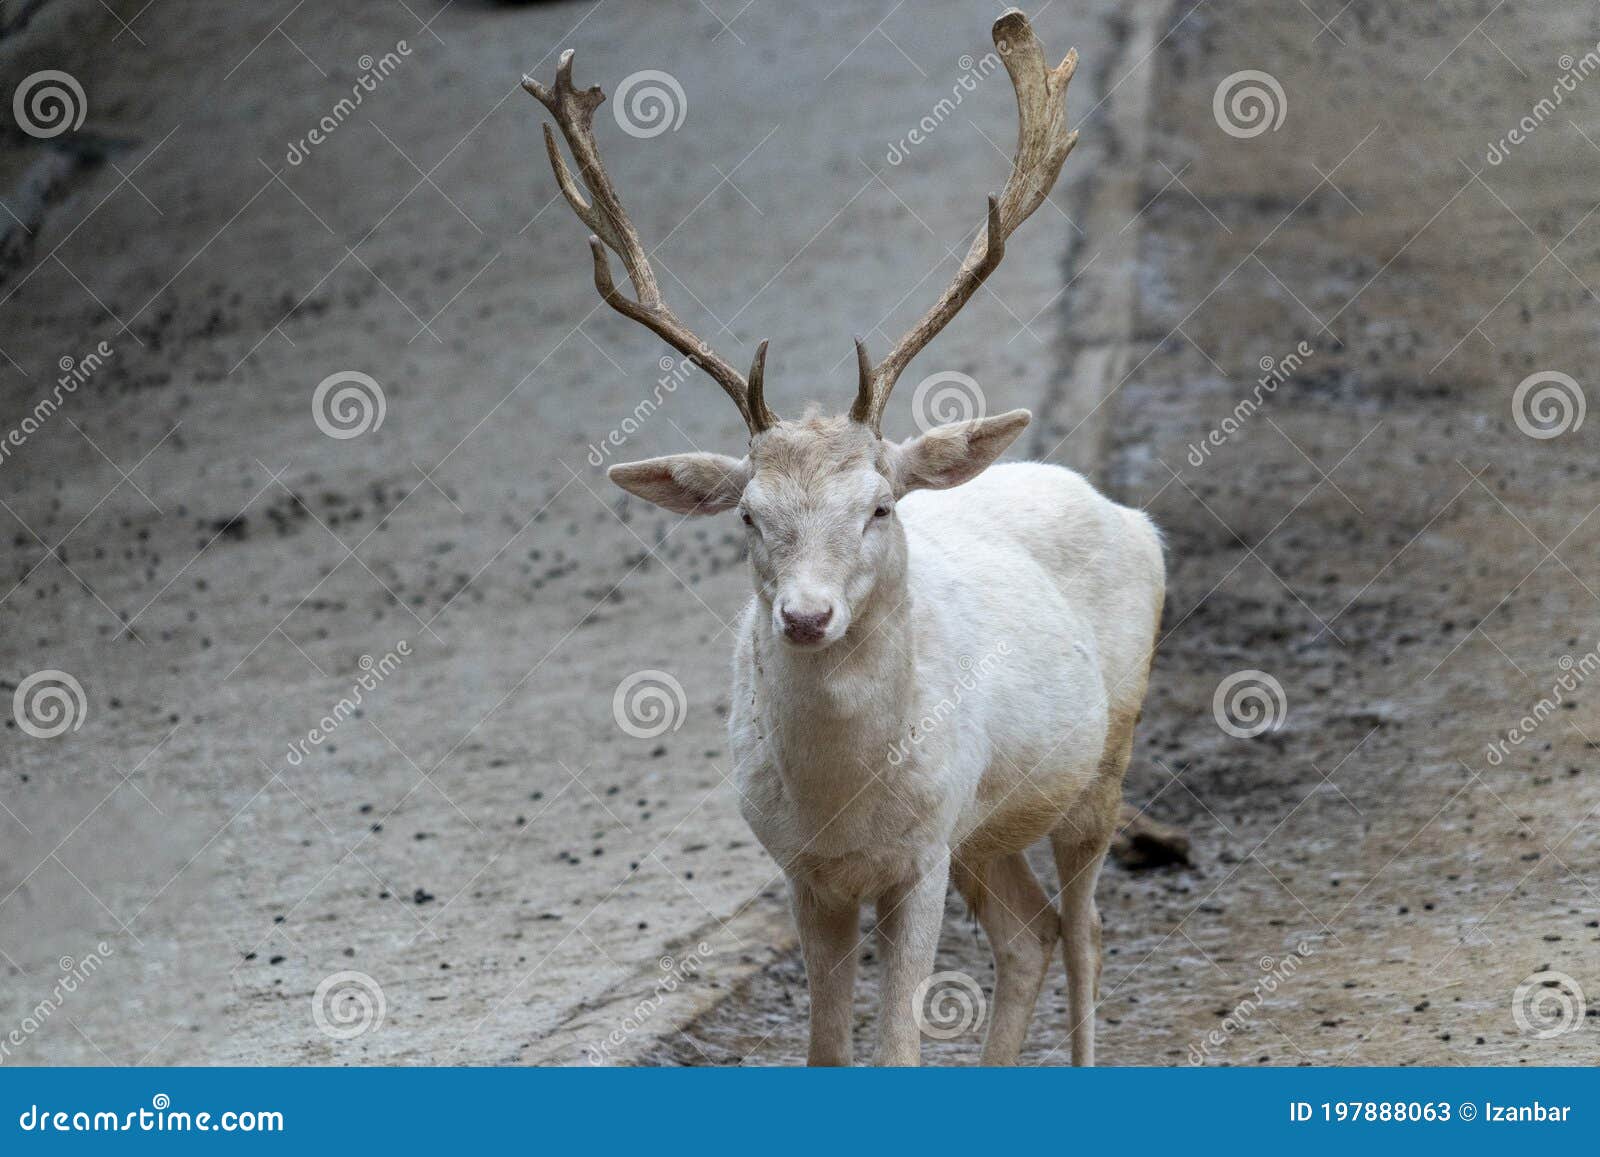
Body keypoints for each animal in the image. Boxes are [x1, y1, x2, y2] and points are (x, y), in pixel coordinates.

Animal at [524, 8, 1165, 1066]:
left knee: (1086, 933)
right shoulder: (808, 869)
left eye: (878, 506)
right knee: (1027, 934)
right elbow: (828, 1049)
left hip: (1101, 757)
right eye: (749, 513)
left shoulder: (921, 851)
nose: (806, 616)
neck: (847, 804)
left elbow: (898, 1043)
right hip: (987, 826)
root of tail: (1132, 514)